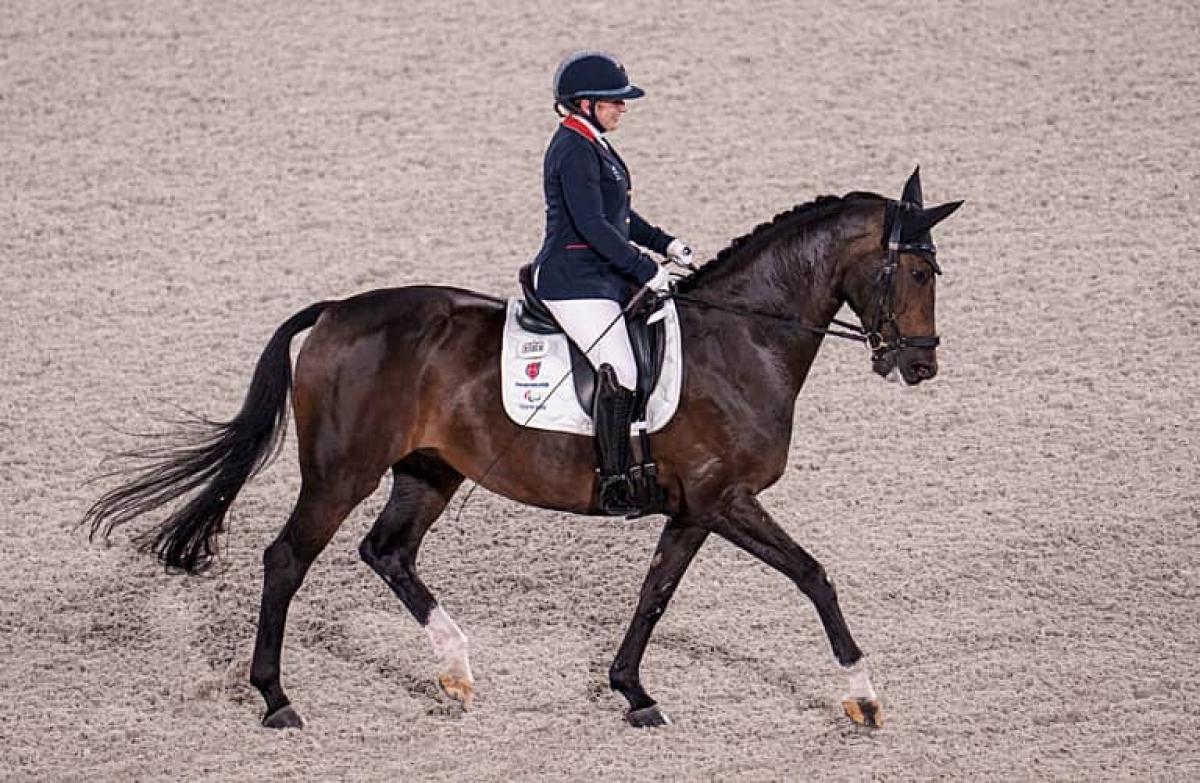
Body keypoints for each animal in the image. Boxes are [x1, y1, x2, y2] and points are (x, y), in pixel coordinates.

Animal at [84, 168, 962, 730]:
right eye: (915, 272)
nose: (920, 365)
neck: (745, 338)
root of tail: (335, 310)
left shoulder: (695, 508)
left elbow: (654, 593)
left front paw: (631, 691)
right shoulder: (727, 499)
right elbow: (814, 575)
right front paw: (863, 695)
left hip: (428, 472)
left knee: (386, 552)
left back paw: (457, 670)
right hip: (340, 473)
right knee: (286, 560)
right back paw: (276, 698)